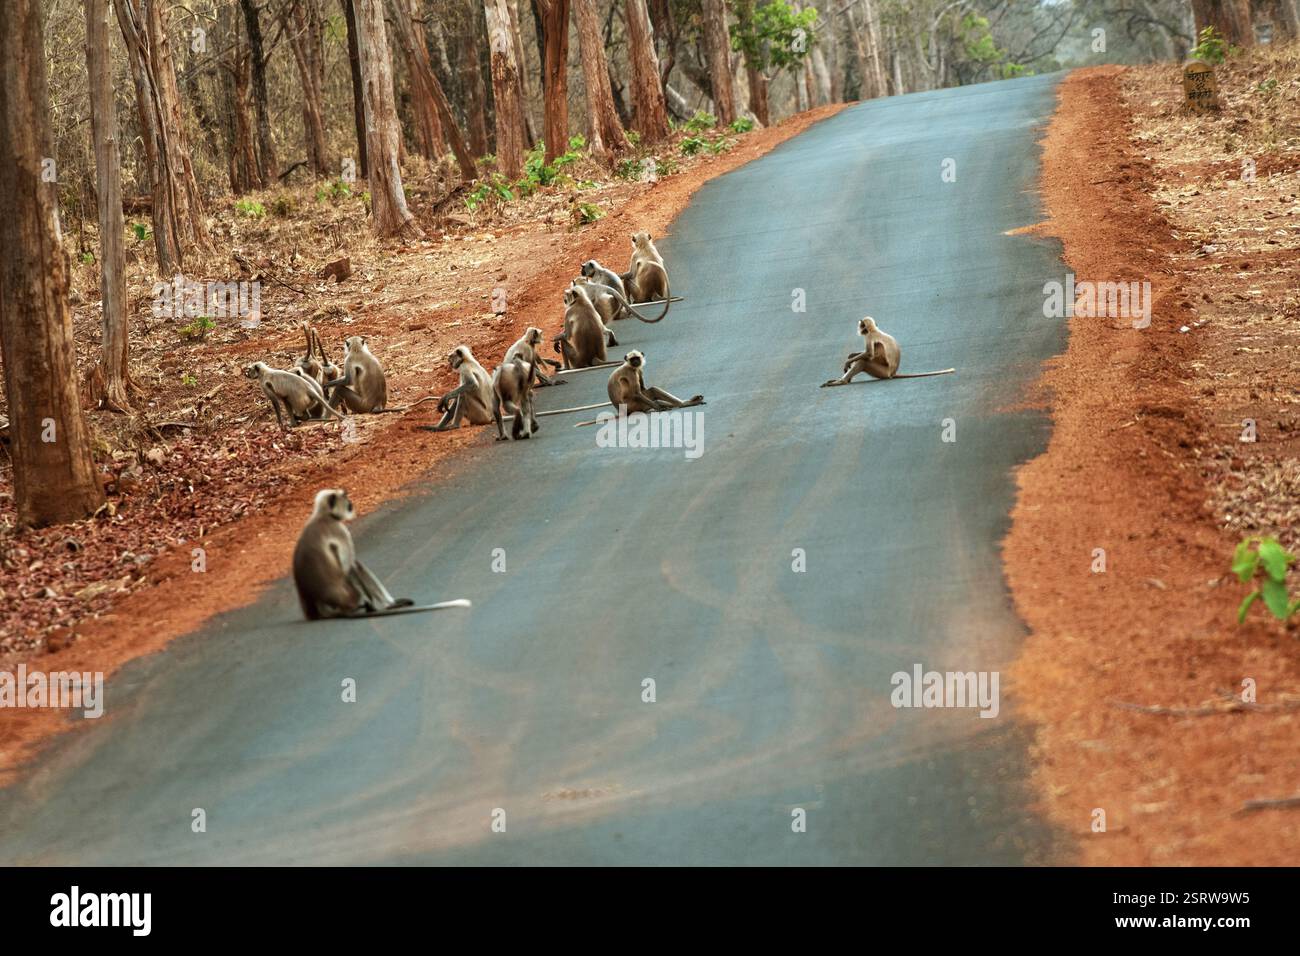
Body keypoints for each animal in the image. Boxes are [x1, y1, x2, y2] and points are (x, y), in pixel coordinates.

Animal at [292, 488, 413, 620]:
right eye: (344, 497)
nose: (349, 501)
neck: (323, 515)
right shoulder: (340, 530)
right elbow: (346, 569)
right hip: (349, 596)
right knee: (354, 566)